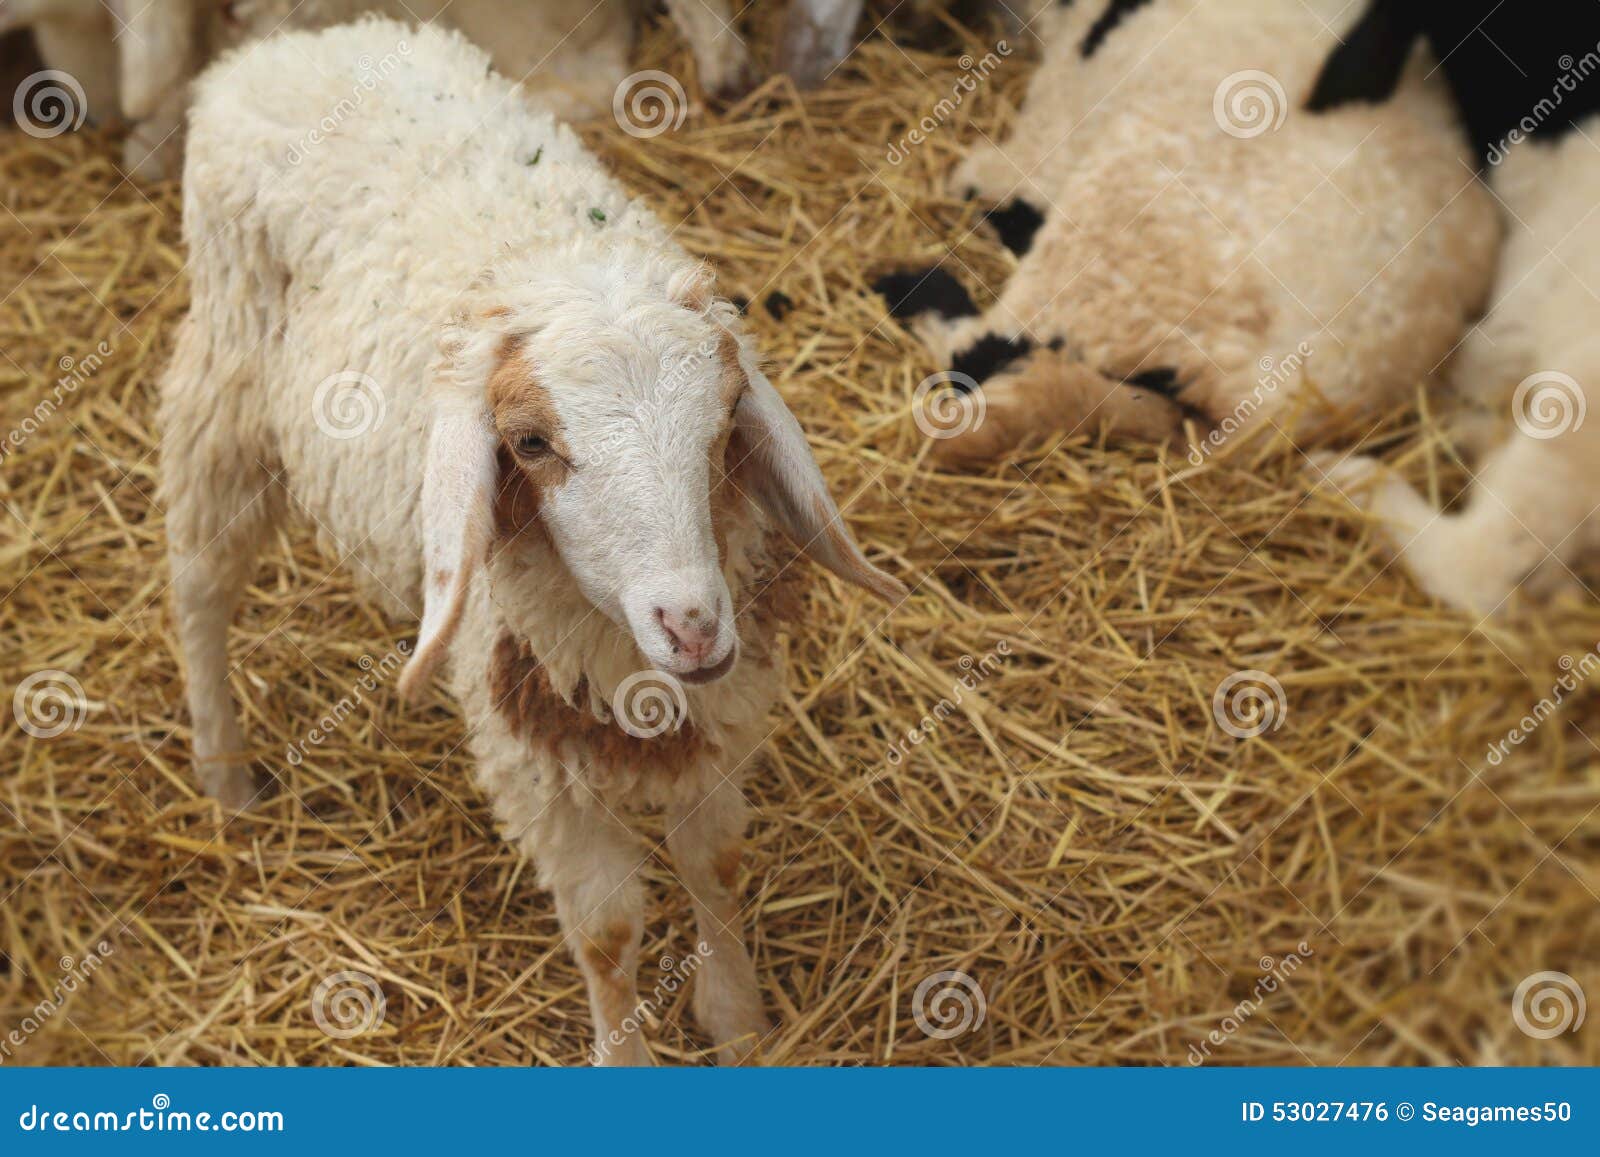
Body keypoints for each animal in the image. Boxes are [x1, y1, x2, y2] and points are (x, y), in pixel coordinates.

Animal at [159, 18, 905, 1064]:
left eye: (725, 425)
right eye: (531, 445)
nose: (691, 624)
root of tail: (296, 43)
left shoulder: (717, 714)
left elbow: (714, 864)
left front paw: (739, 1020)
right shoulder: (536, 761)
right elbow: (608, 932)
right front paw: (628, 1054)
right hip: (225, 389)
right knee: (200, 581)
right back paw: (224, 774)